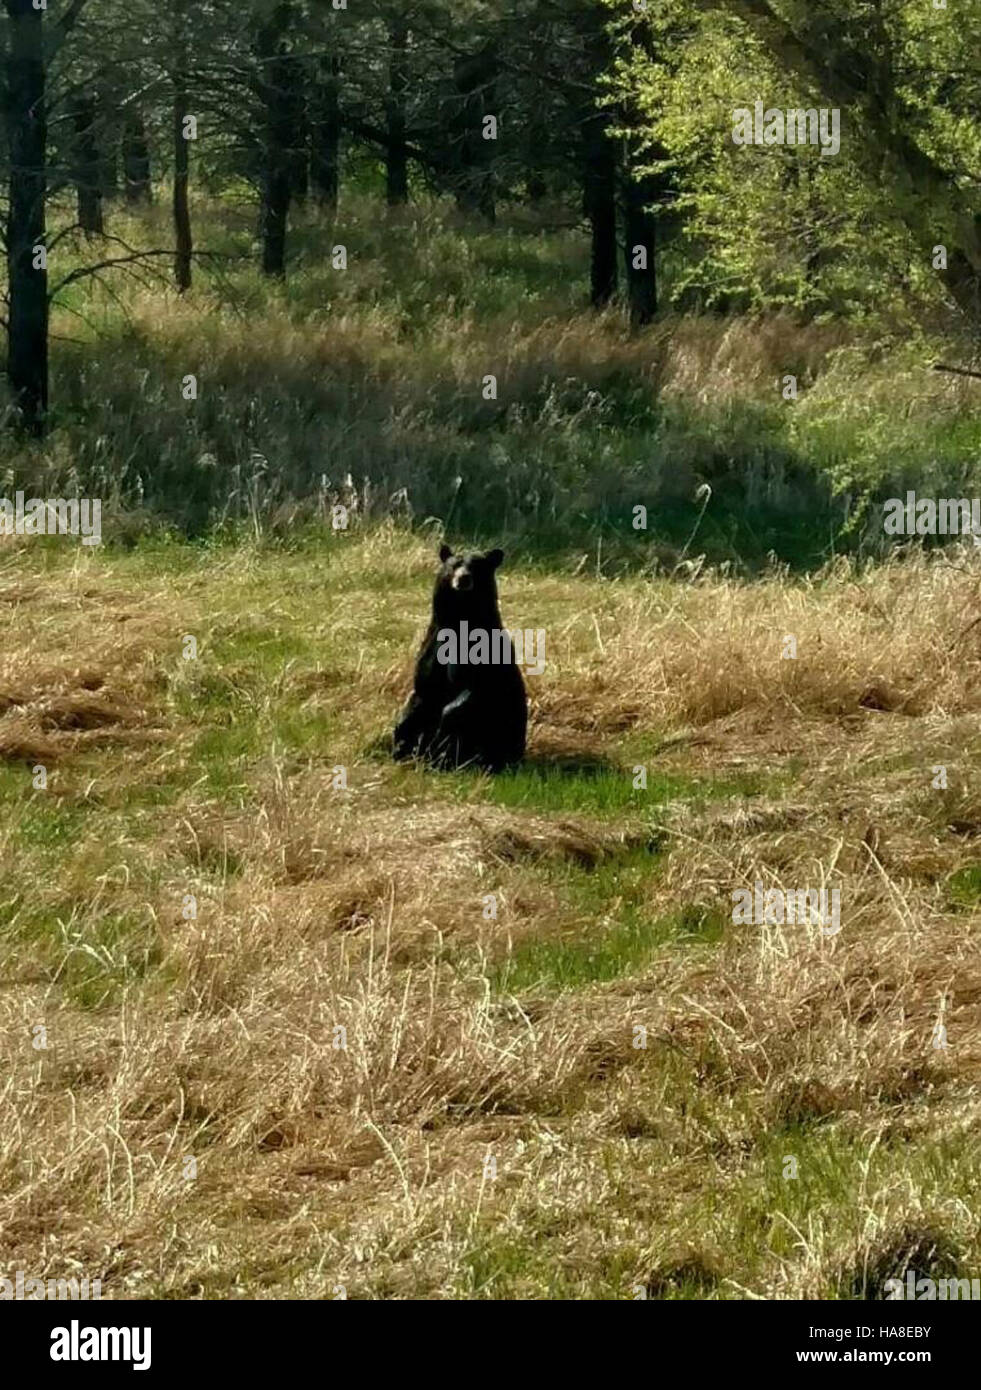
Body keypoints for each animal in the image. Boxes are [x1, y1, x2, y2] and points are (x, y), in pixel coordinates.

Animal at [393, 543, 527, 772]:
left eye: (477, 566)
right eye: (454, 565)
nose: (463, 578)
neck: (460, 618)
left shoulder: (484, 655)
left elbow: (469, 696)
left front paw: (442, 746)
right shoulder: (434, 644)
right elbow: (422, 692)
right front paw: (402, 745)